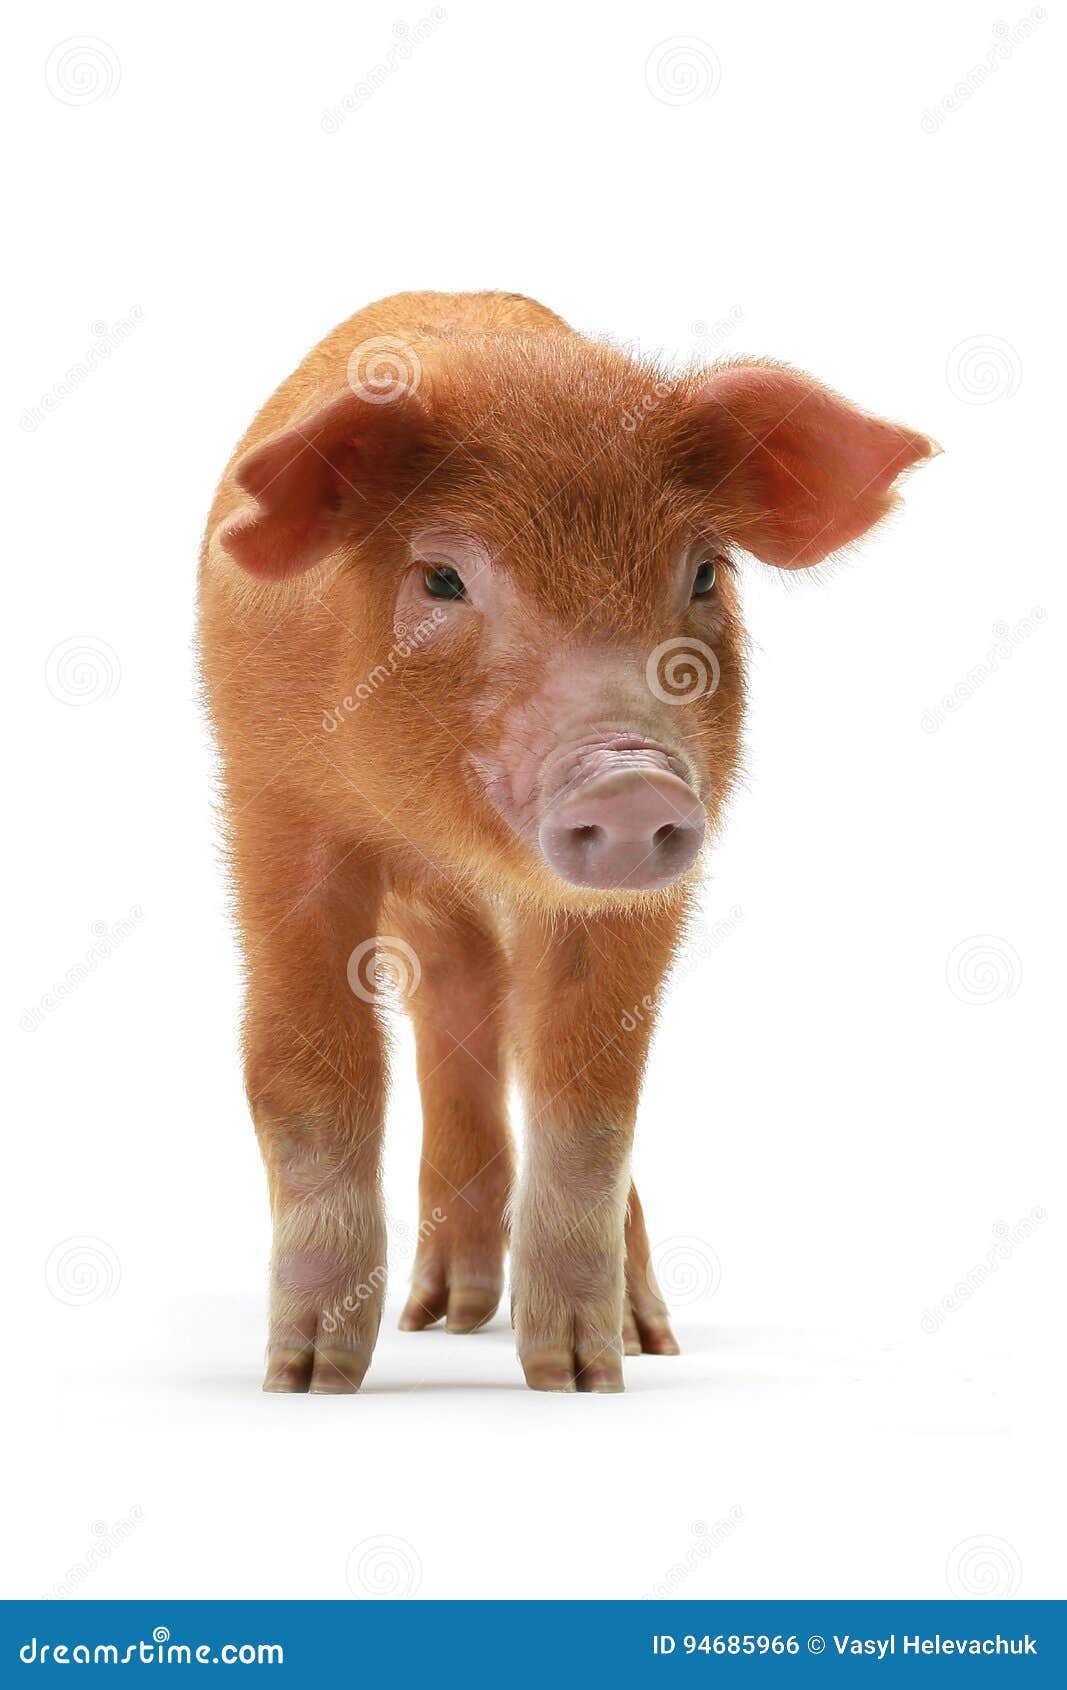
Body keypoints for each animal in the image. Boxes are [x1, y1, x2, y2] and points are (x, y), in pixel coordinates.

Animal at [198, 290, 935, 1393]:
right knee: (455, 1008)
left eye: (704, 572)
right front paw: (305, 1378)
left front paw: (581, 1378)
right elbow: (307, 1071)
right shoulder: (274, 805)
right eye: (442, 579)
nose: (630, 777)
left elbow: (589, 1092)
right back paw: (439, 1318)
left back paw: (617, 1333)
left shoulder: (639, 890)